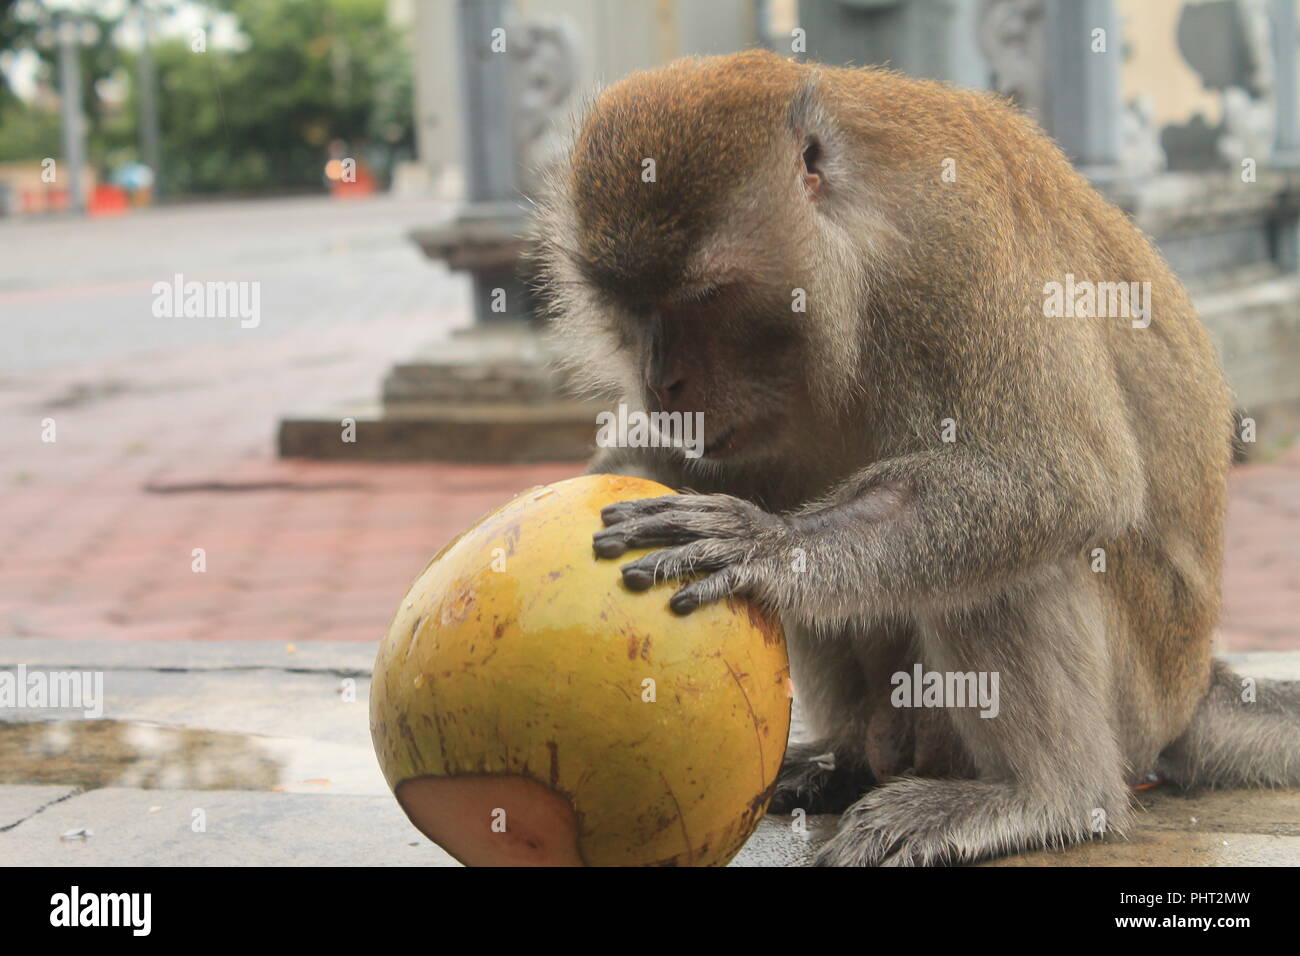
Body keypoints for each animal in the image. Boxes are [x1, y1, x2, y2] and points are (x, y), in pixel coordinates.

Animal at [534, 49, 1300, 866]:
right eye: (629, 303)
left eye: (708, 296)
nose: (661, 380)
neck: (855, 249)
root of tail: (1192, 691)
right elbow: (676, 458)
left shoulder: (954, 250)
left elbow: (1063, 476)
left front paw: (765, 544)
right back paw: (846, 762)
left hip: (1135, 698)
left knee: (1019, 561)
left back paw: (1043, 799)